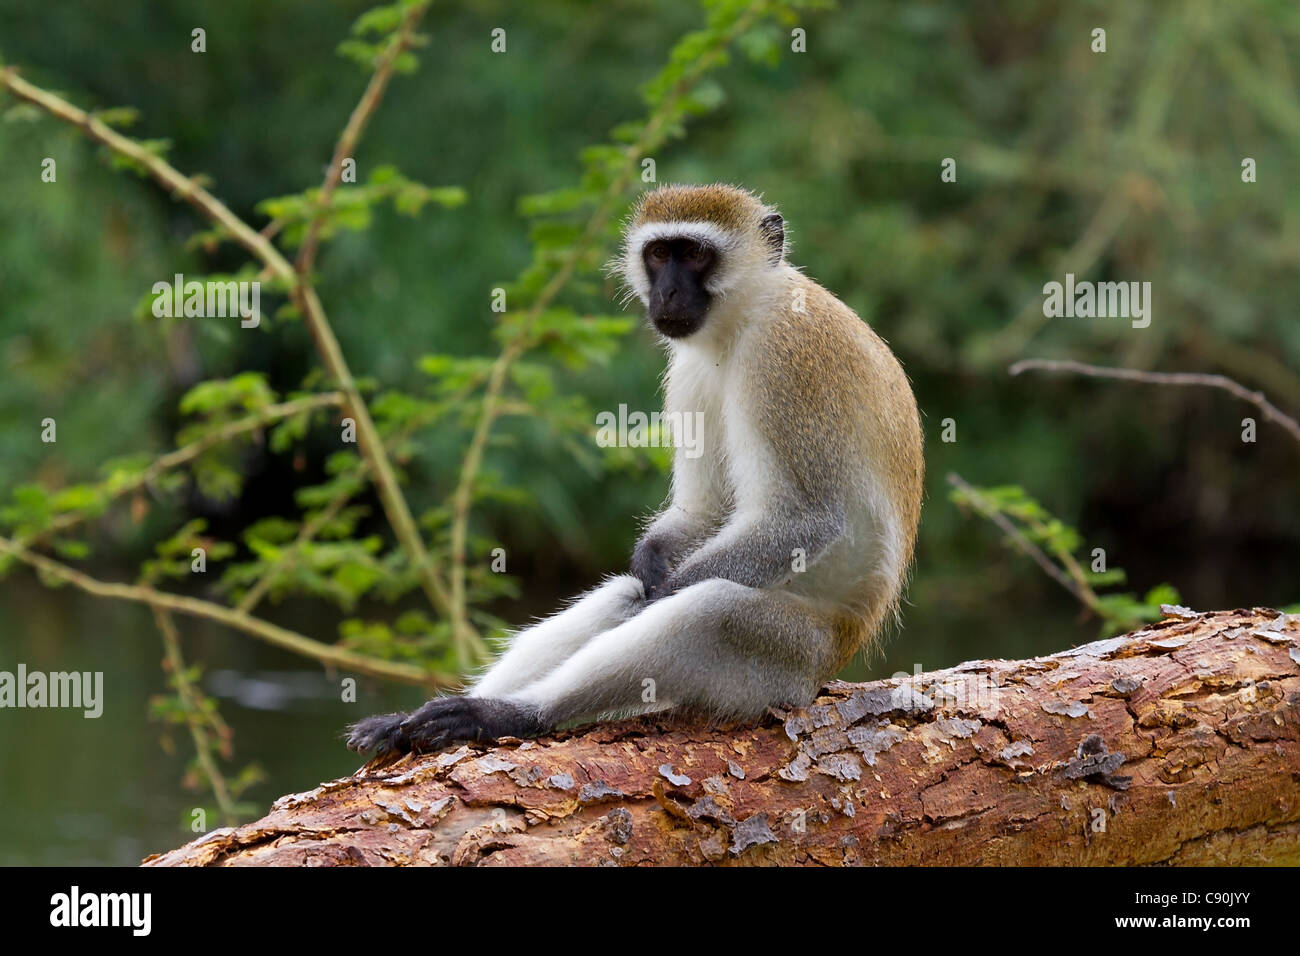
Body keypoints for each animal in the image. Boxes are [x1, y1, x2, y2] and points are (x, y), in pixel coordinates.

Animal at [346, 183, 924, 756]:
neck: (742, 318)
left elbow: (805, 520)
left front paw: (665, 592)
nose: (665, 294)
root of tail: (845, 643)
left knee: (708, 612)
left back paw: (511, 713)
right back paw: (415, 721)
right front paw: (651, 556)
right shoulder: (690, 368)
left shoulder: (784, 357)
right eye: (658, 254)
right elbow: (704, 512)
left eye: (694, 254)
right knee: (626, 593)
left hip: (790, 658)